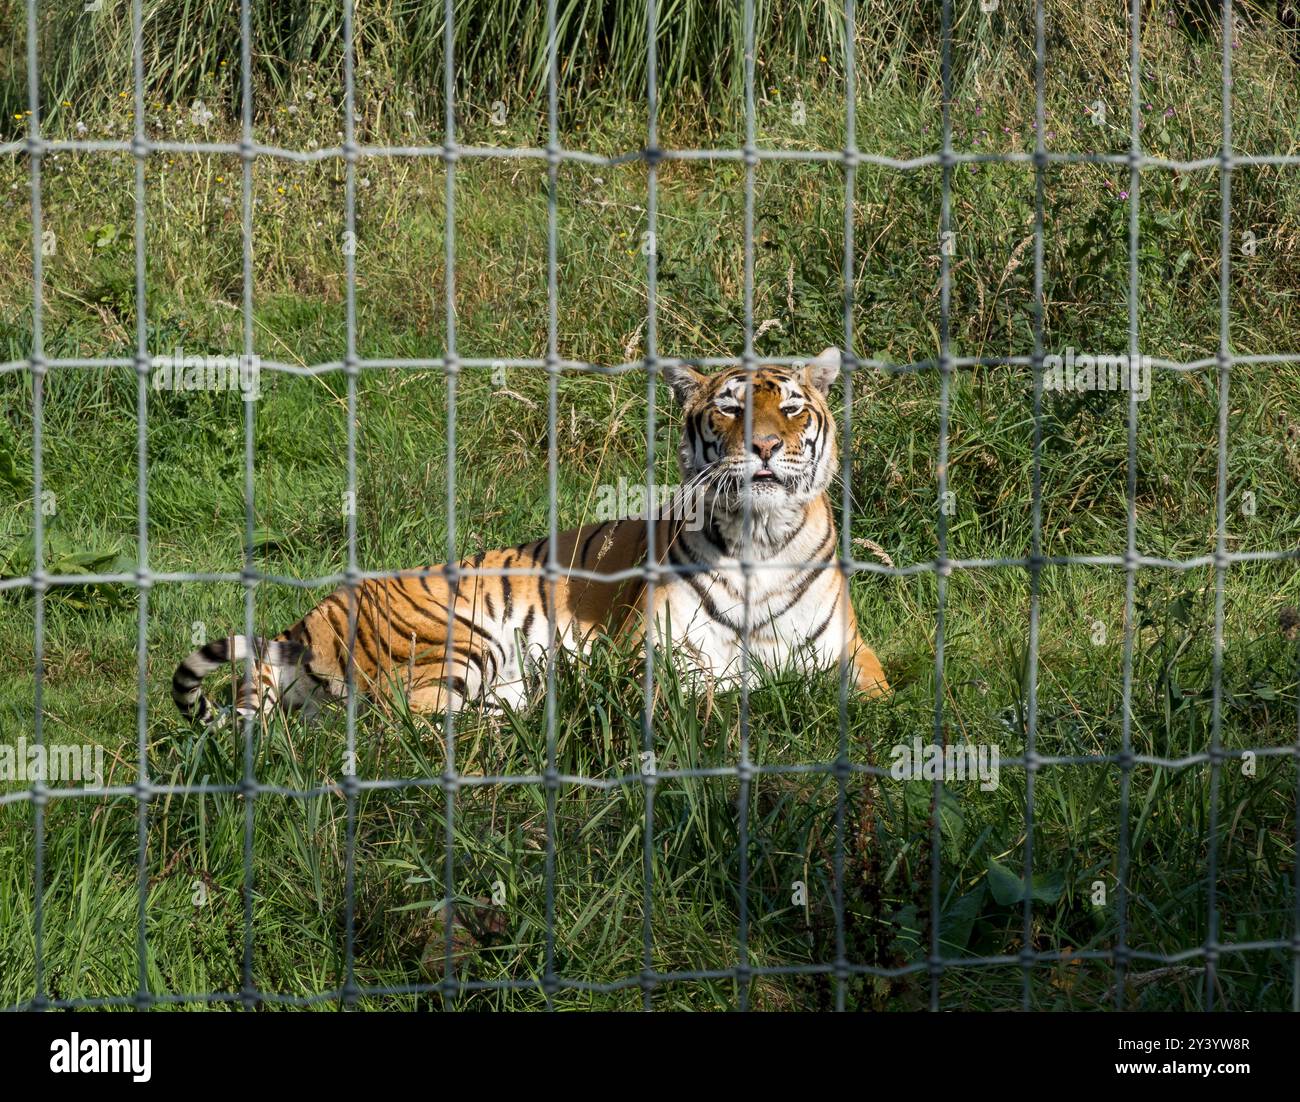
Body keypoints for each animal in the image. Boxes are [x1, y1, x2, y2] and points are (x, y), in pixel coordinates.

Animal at [171, 346, 890, 725]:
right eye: (730, 407)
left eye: (790, 408)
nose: (764, 446)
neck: (758, 538)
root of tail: (309, 616)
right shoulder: (652, 655)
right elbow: (708, 700)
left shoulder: (850, 653)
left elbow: (877, 702)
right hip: (453, 643)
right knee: (412, 731)